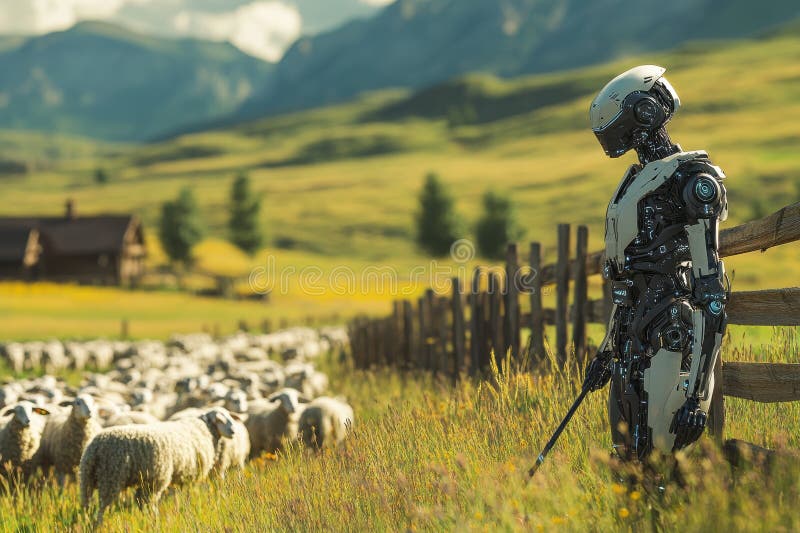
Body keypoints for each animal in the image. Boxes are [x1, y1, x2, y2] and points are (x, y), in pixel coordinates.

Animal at [80, 407, 236, 525]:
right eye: (220, 420)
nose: (233, 431)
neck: (203, 429)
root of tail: (97, 447)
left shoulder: (178, 477)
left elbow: (174, 497)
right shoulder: (184, 477)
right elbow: (183, 496)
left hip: (87, 479)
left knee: (87, 506)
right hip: (113, 478)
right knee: (103, 508)